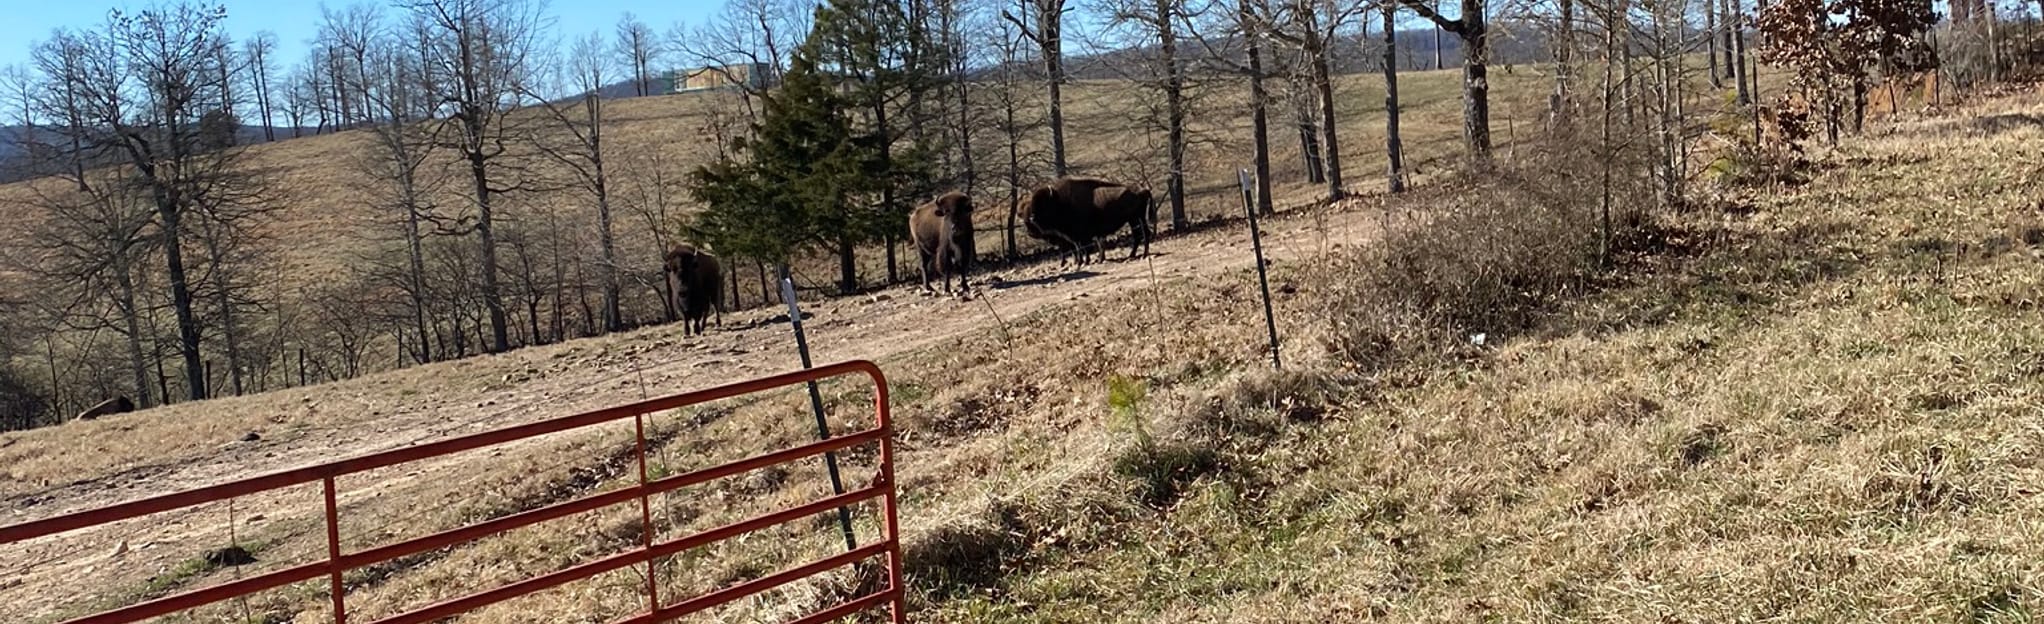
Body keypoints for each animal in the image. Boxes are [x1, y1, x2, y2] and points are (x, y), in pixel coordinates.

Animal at [1019, 176, 1155, 266]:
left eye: (1044, 203)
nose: (1032, 218)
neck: (1061, 201)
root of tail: (1143, 189)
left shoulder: (1082, 235)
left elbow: (1085, 248)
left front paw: (1085, 262)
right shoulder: (1074, 236)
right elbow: (1079, 248)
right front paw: (1083, 262)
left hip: (1137, 218)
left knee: (1144, 234)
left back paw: (1143, 255)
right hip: (1133, 220)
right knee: (1138, 235)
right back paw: (1132, 255)